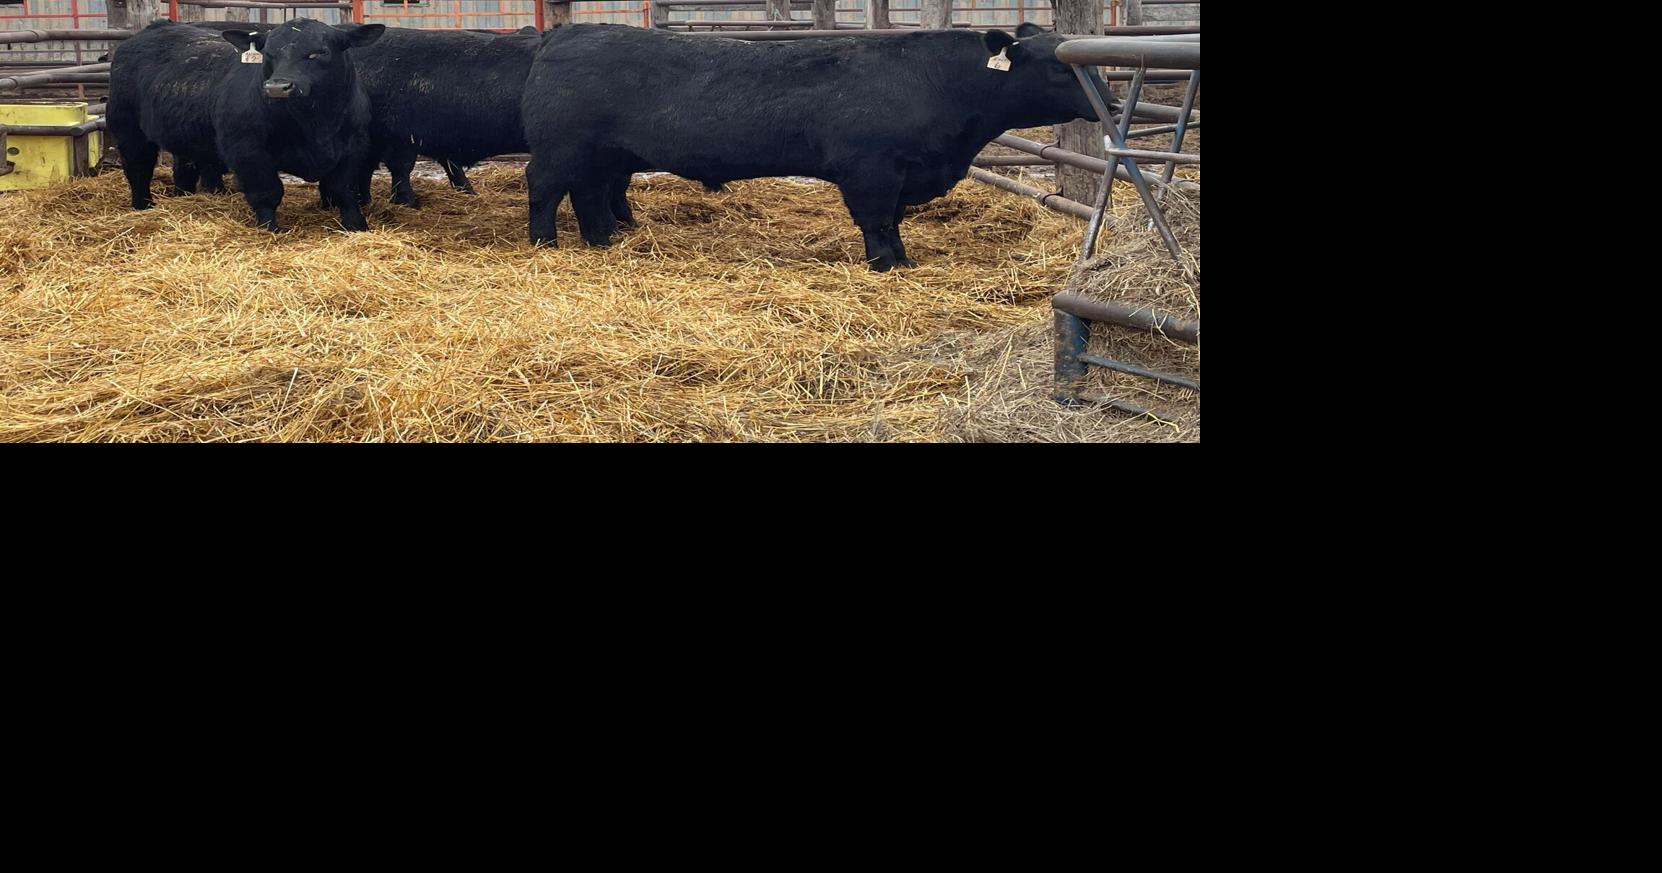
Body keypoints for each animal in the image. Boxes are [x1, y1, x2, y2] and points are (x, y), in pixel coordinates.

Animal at [105, 18, 385, 232]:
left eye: (319, 52)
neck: (316, 124)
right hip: (128, 130)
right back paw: (142, 206)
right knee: (138, 169)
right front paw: (269, 229)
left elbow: (344, 189)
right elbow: (267, 191)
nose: (277, 87)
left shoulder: (354, 146)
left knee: (183, 169)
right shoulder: (247, 149)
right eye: (268, 54)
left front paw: (356, 226)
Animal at [519, 22, 1112, 270]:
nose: (1104, 96)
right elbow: (877, 221)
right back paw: (545, 243)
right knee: (544, 189)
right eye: (1060, 67)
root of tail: (569, 32)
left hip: (601, 157)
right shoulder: (872, 170)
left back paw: (601, 241)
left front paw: (902, 259)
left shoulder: (902, 172)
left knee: (590, 197)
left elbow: (894, 221)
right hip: (562, 150)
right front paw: (887, 265)